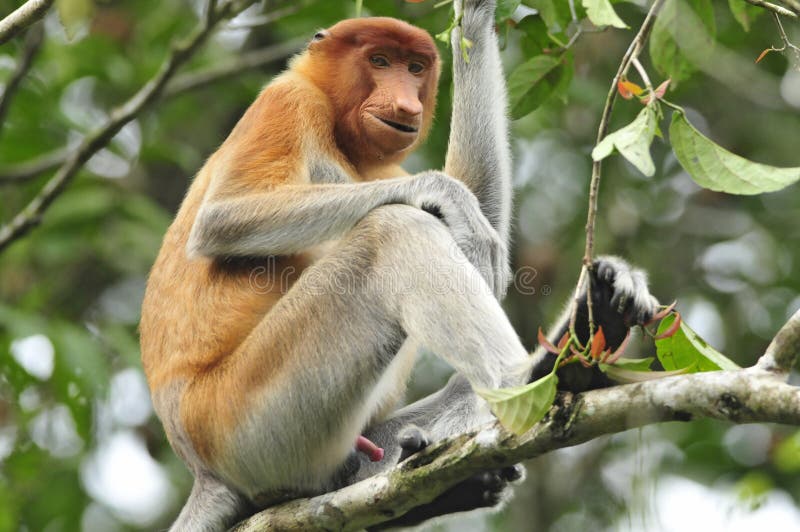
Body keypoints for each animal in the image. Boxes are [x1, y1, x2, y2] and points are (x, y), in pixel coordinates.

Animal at [139, 1, 659, 530]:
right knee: (392, 230)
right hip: (246, 420)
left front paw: (475, 17)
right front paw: (443, 193)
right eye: (380, 61)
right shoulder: (286, 101)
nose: (408, 105)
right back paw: (538, 379)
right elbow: (223, 216)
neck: (341, 137)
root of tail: (202, 468)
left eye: (415, 68)